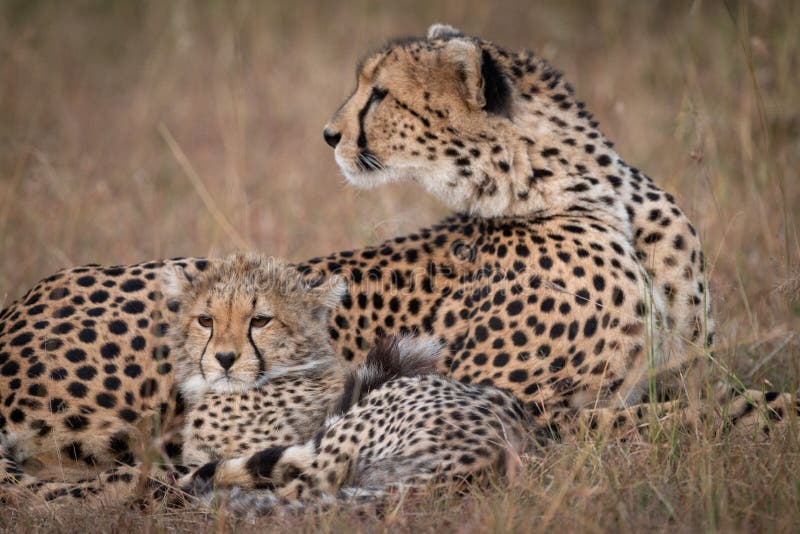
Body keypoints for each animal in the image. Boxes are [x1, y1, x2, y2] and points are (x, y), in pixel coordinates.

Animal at [0, 23, 796, 501]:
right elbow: (701, 414)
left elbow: (724, 397)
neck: (589, 192)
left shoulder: (671, 375)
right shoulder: (519, 408)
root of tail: (20, 308)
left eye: (380, 94)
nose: (327, 135)